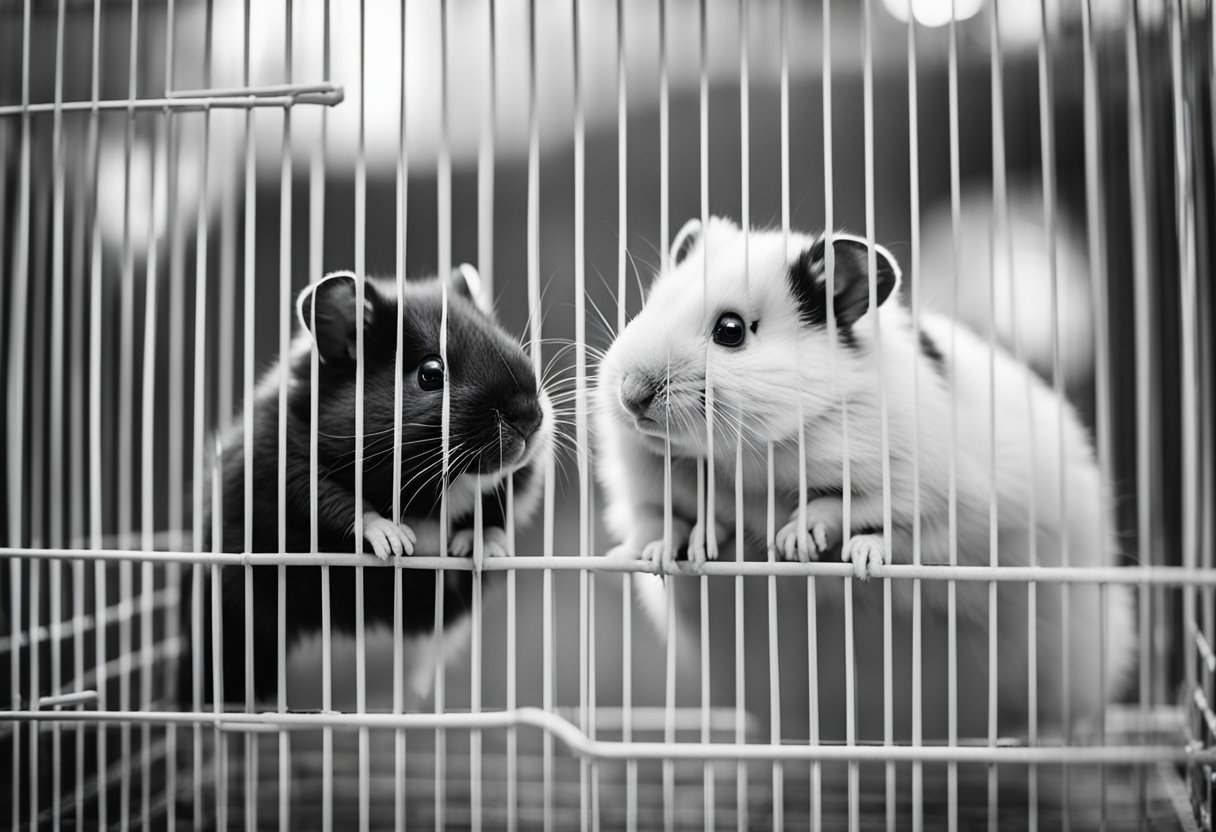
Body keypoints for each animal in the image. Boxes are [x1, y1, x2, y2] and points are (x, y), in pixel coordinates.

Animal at [182, 265, 552, 705]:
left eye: (504, 339)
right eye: (431, 374)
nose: (530, 420)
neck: (431, 487)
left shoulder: (512, 486)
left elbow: (494, 516)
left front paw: (481, 548)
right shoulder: (284, 465)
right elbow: (337, 504)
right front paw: (398, 543)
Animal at [596, 216, 1132, 737]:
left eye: (730, 330)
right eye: (650, 306)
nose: (630, 395)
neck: (749, 457)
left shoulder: (919, 487)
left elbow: (852, 509)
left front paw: (797, 543)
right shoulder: (649, 495)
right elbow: (665, 521)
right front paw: (670, 553)